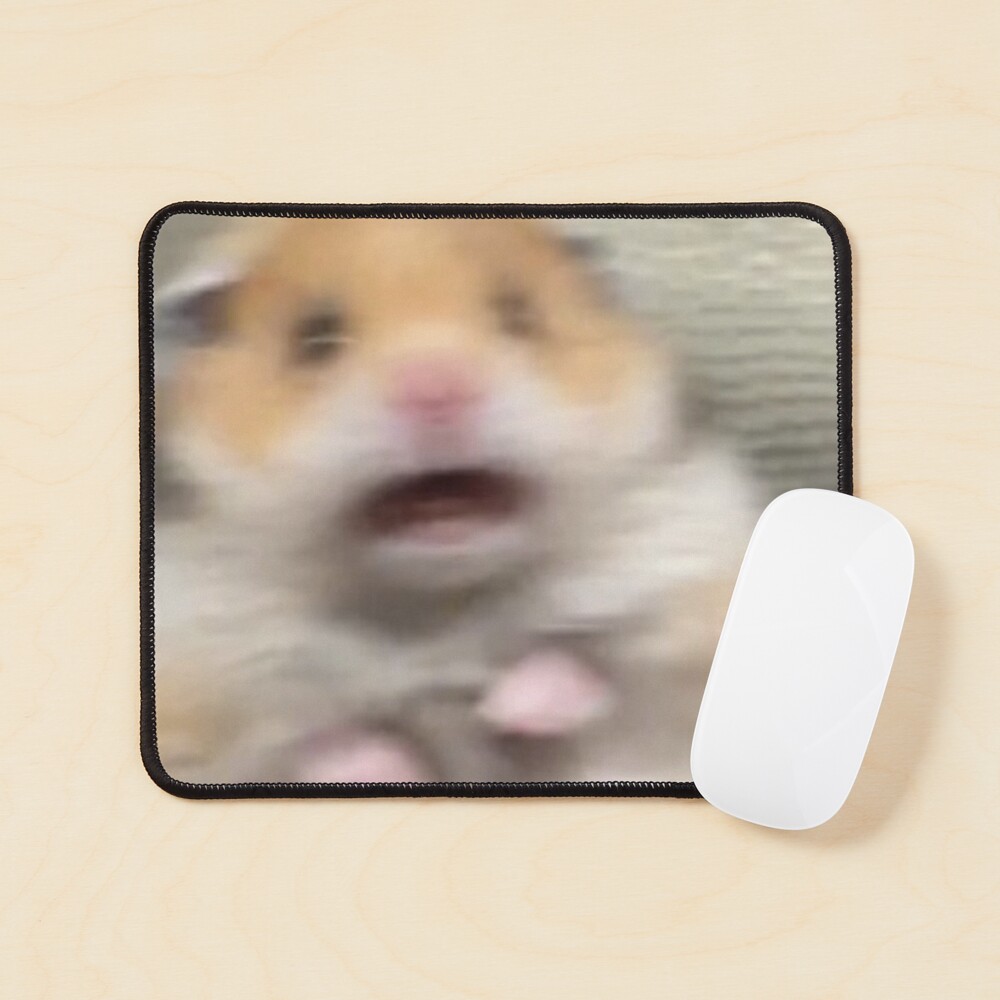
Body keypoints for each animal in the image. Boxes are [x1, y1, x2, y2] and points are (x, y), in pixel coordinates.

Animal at [153, 217, 759, 784]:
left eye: (518, 317)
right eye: (315, 340)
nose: (439, 391)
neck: (438, 609)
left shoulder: (692, 579)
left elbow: (597, 661)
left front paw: (514, 708)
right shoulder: (203, 684)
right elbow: (310, 744)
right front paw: (389, 766)